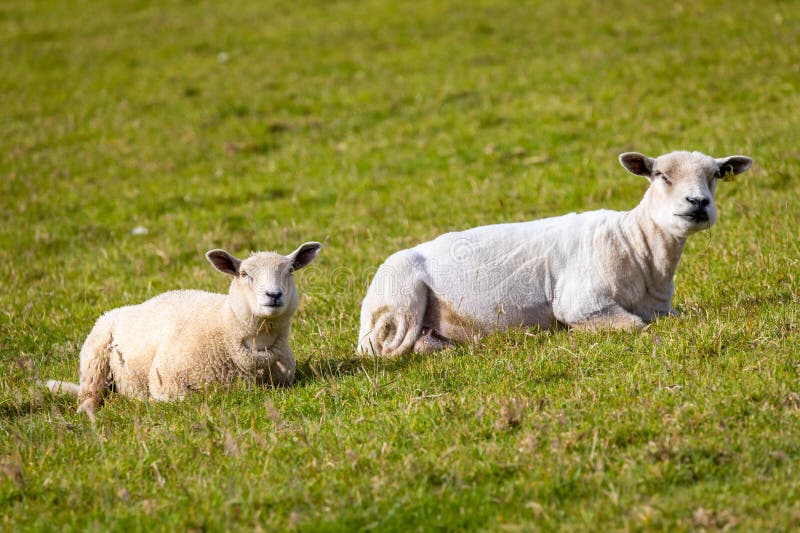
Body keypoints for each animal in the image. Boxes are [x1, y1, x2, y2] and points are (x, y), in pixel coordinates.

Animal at [46, 242, 322, 417]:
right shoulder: (167, 382)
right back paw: (89, 410)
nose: (273, 295)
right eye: (244, 274)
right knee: (89, 394)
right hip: (94, 356)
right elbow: (185, 400)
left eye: (290, 271)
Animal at [357, 150, 753, 356]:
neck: (635, 243)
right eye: (660, 175)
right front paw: (571, 334)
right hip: (396, 307)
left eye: (716, 174)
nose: (698, 203)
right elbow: (634, 326)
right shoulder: (581, 303)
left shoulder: (664, 310)